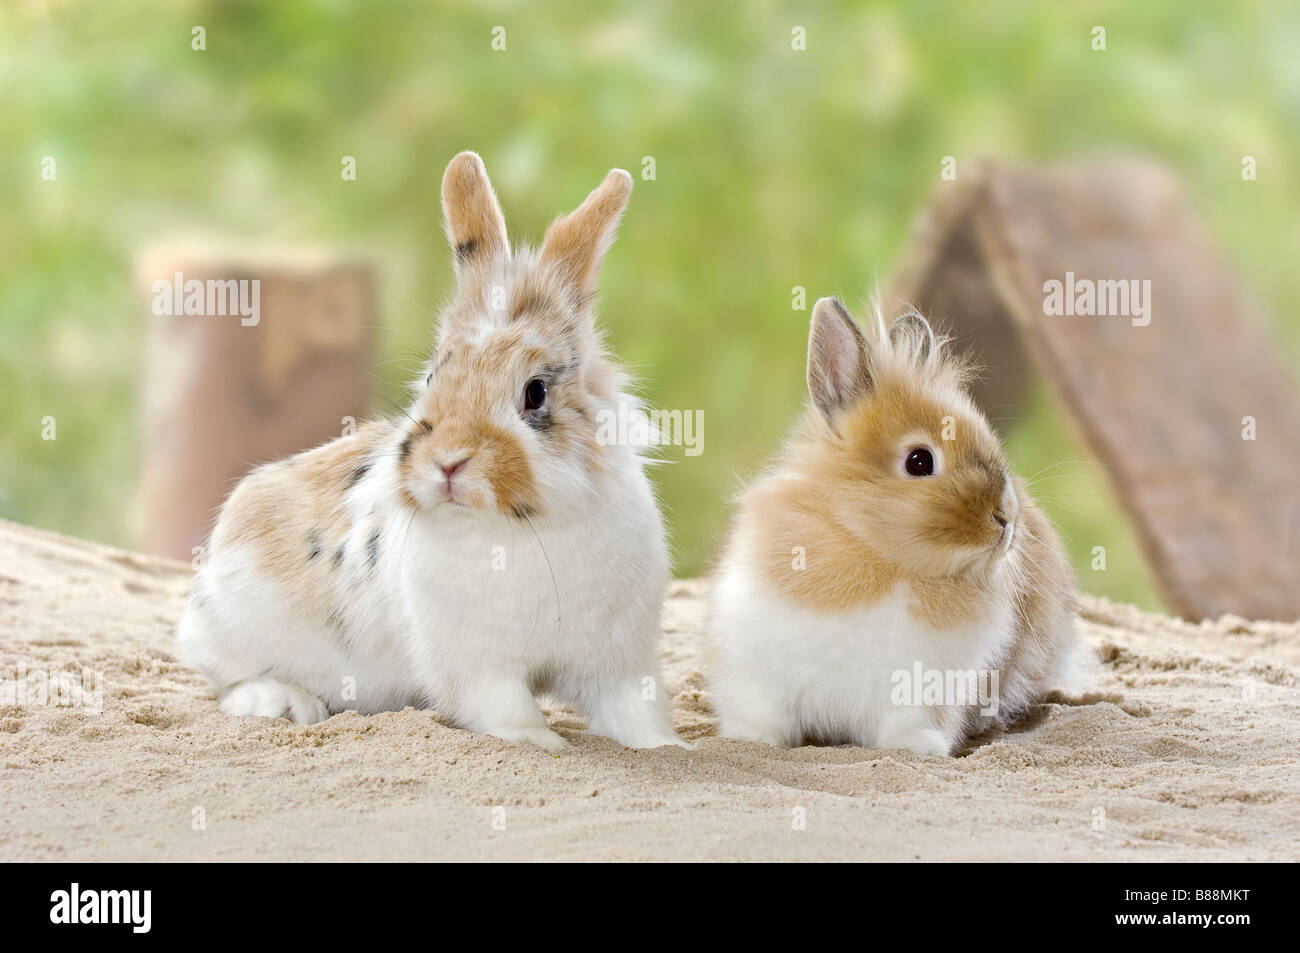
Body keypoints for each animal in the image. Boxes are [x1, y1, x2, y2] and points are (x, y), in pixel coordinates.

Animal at [177, 152, 686, 753]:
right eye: (431, 378)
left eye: (535, 392)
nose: (447, 462)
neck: (531, 524)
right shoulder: (481, 668)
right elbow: (507, 708)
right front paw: (542, 743)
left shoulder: (619, 663)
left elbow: (633, 712)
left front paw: (667, 747)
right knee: (225, 681)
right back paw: (286, 703)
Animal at [707, 296, 1088, 756]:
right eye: (919, 461)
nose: (1006, 517)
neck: (877, 554)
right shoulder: (758, 666)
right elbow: (764, 712)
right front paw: (753, 738)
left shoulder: (926, 688)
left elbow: (911, 723)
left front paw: (918, 747)